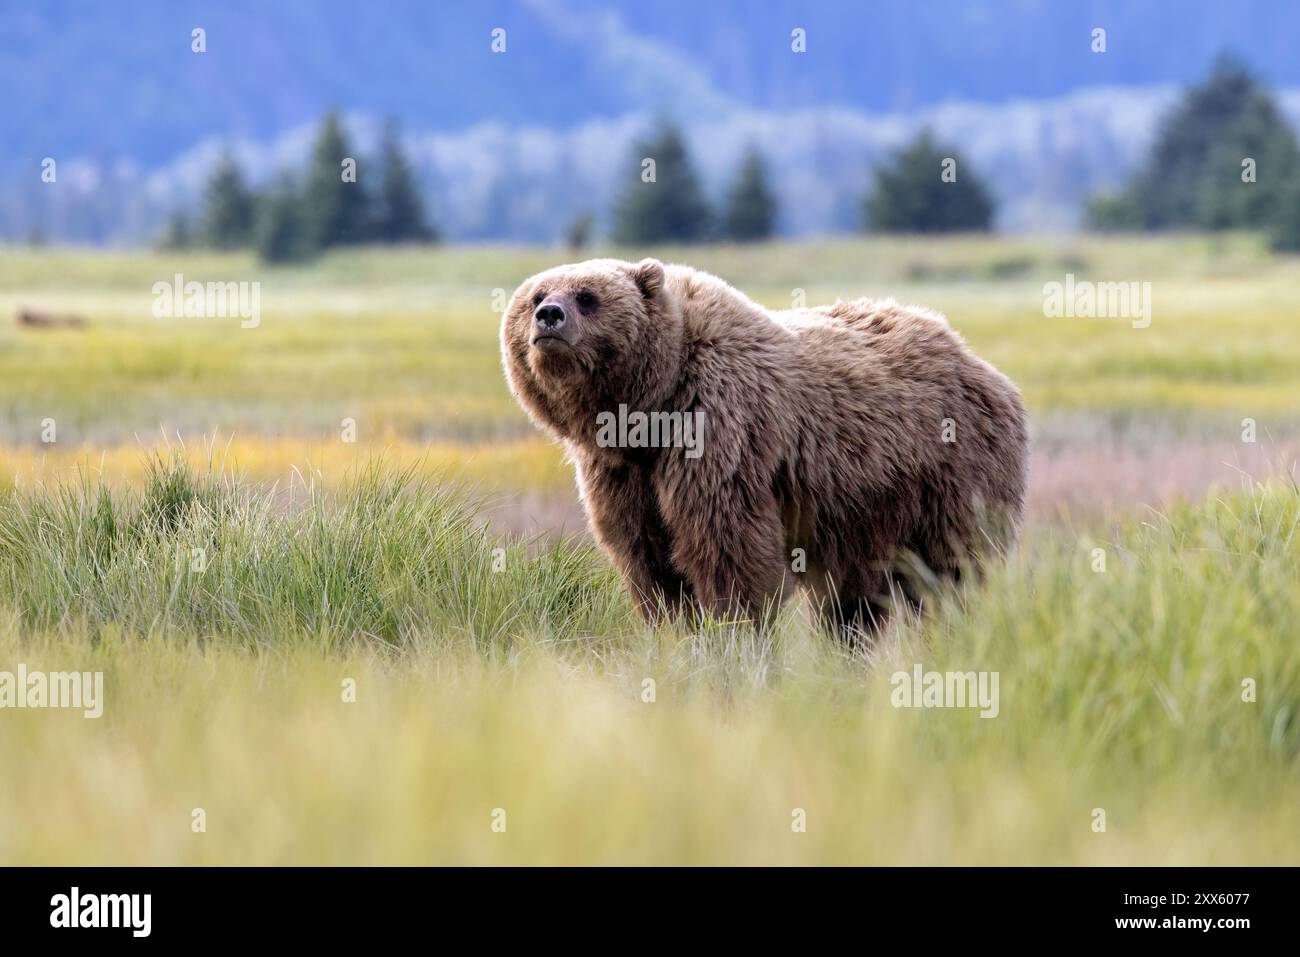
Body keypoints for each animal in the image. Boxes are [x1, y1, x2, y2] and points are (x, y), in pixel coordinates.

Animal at [500, 257, 1028, 636]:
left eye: (587, 296)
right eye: (536, 296)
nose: (549, 316)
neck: (649, 408)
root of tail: (982, 364)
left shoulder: (718, 429)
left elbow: (728, 549)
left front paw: (733, 632)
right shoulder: (621, 473)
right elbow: (648, 559)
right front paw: (674, 629)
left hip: (949, 472)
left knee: (954, 570)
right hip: (865, 515)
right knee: (851, 602)